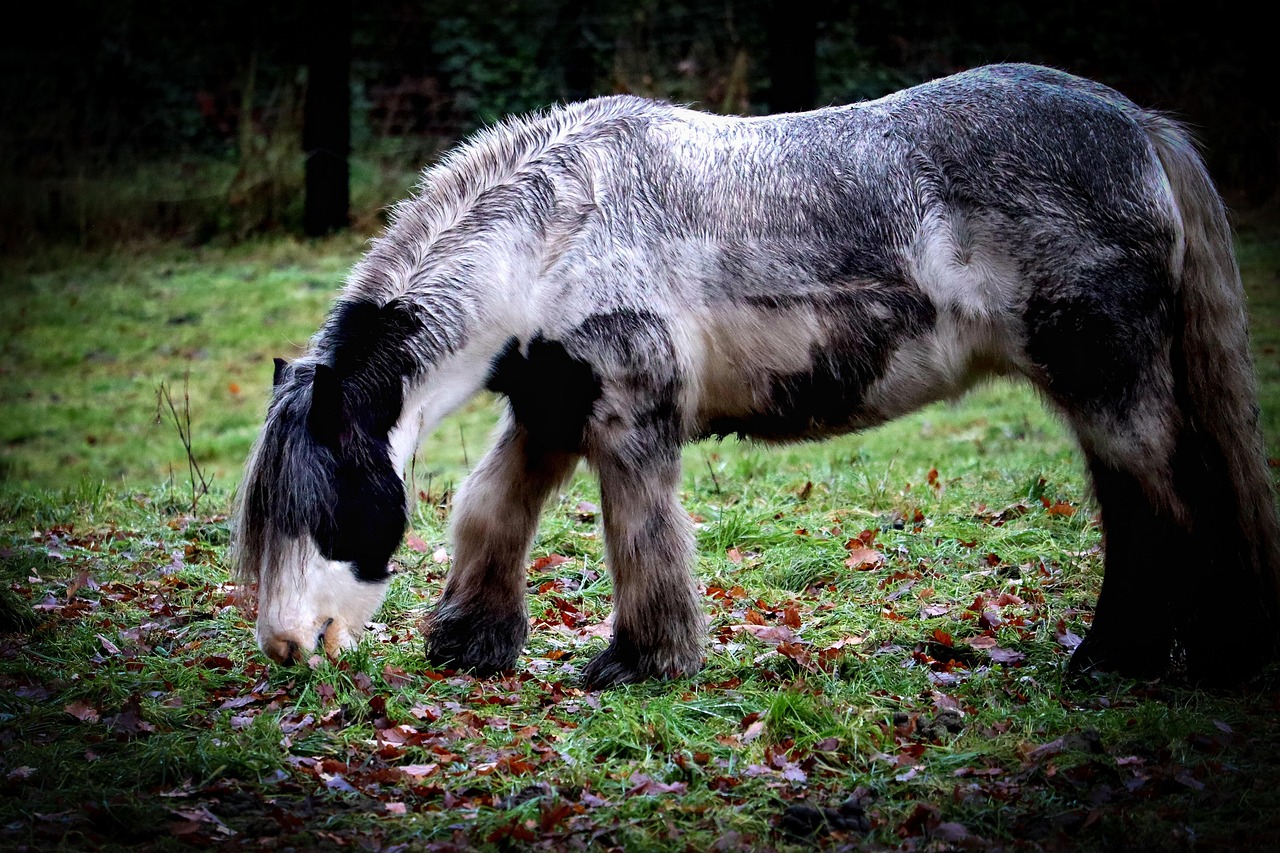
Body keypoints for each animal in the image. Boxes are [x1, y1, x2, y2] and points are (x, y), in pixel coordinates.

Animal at [233, 63, 1280, 688]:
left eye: (325, 509)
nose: (285, 645)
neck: (558, 231)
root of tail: (1140, 126)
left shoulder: (629, 421)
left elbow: (642, 537)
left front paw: (641, 663)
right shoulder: (551, 409)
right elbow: (491, 507)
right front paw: (470, 642)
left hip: (1108, 384)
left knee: (1167, 506)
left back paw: (1132, 660)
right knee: (1148, 506)